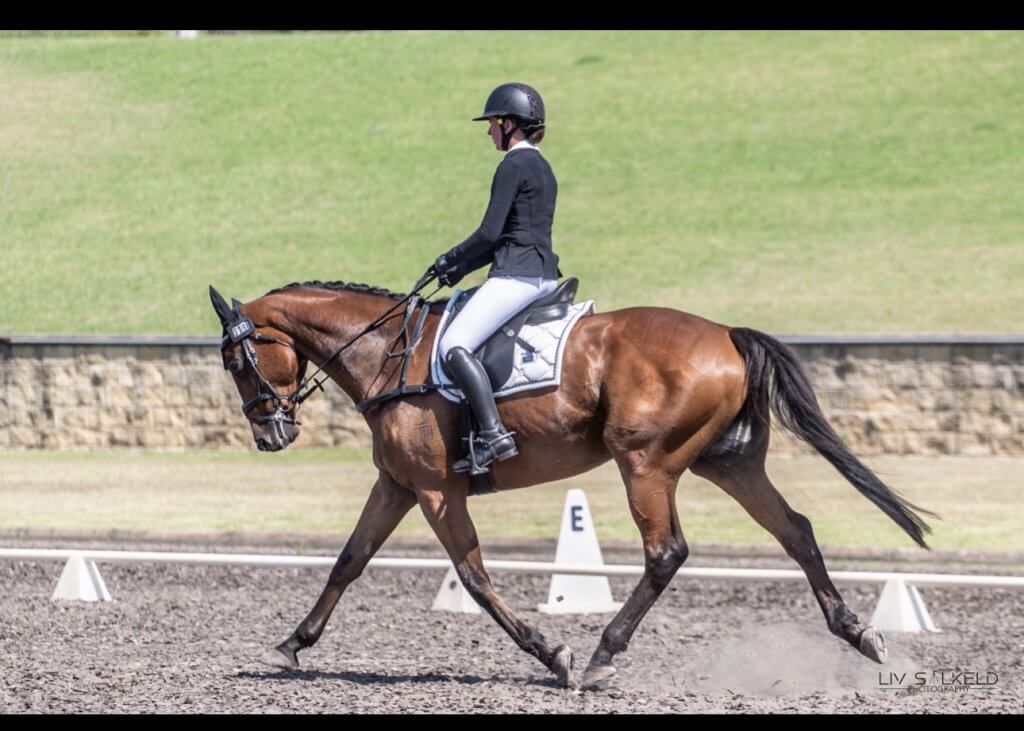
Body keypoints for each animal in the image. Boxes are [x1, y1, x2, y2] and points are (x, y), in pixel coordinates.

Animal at [208, 279, 933, 690]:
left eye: (237, 360)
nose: (270, 435)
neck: (388, 355)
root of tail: (725, 334)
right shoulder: (397, 484)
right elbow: (349, 560)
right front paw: (292, 645)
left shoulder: (437, 490)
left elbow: (473, 576)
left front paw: (550, 651)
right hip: (727, 463)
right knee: (796, 530)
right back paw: (859, 634)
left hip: (645, 463)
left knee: (666, 552)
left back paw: (600, 657)